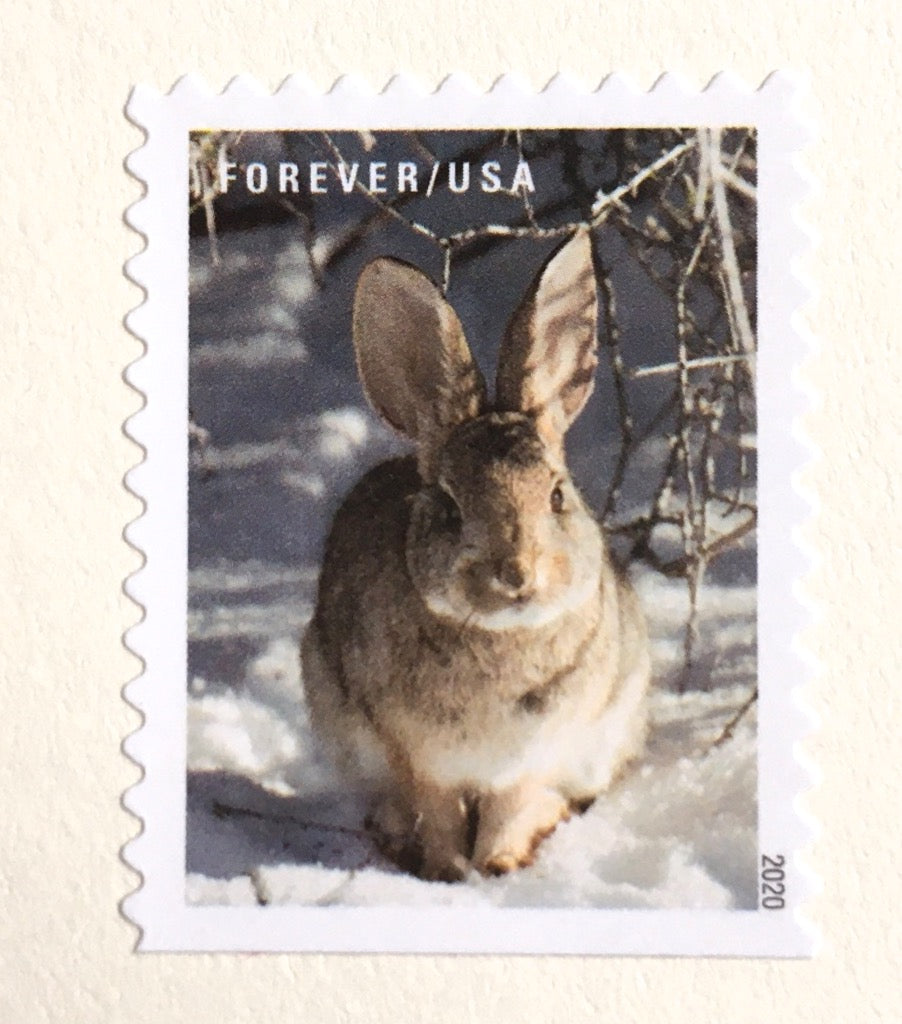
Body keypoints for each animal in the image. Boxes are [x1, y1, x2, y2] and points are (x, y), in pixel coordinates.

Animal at [301, 229, 651, 881]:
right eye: (449, 508)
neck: (501, 636)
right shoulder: (419, 759)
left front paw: (499, 868)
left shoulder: (533, 757)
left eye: (557, 495)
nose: (516, 575)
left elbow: (512, 807)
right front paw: (445, 872)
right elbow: (435, 811)